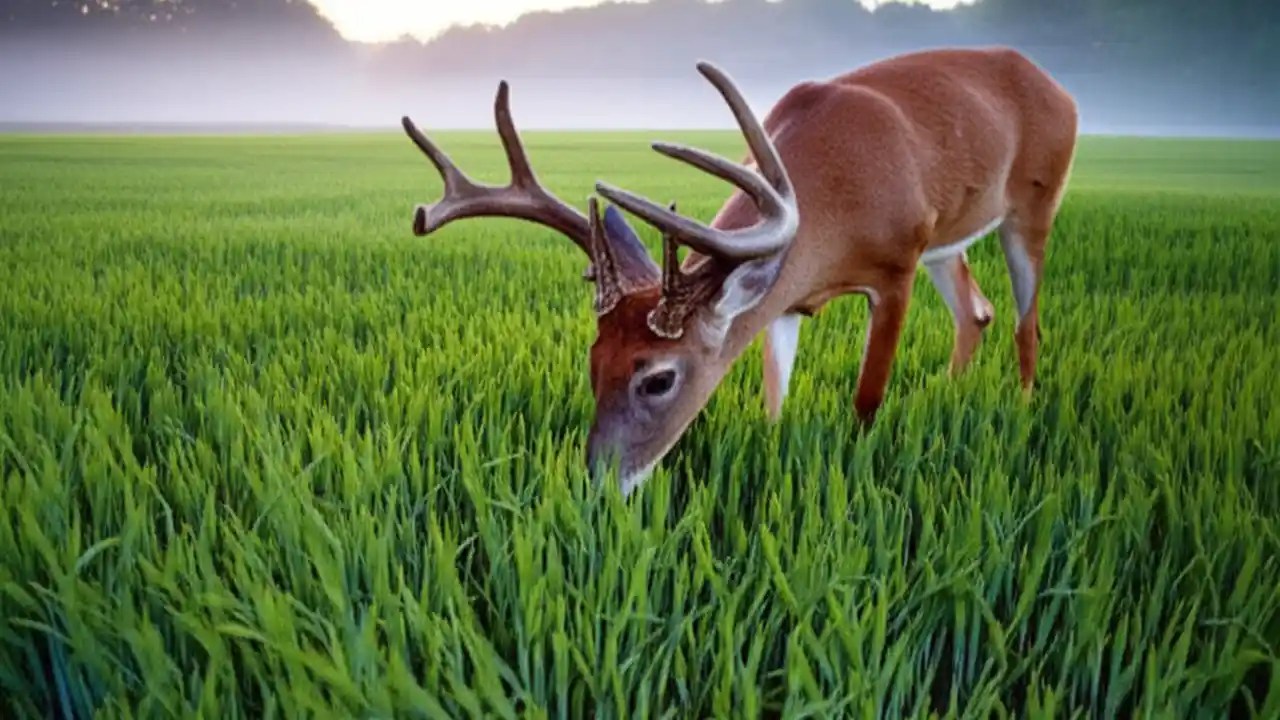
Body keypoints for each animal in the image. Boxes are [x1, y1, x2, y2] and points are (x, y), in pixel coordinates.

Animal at [400, 46, 1078, 496]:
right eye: (593, 362)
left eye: (658, 378)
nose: (598, 485)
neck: (832, 208)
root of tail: (1058, 87)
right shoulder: (786, 302)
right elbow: (773, 402)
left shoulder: (898, 262)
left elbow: (866, 399)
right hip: (950, 238)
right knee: (975, 311)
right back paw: (952, 393)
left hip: (1034, 204)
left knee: (1027, 323)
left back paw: (1021, 411)